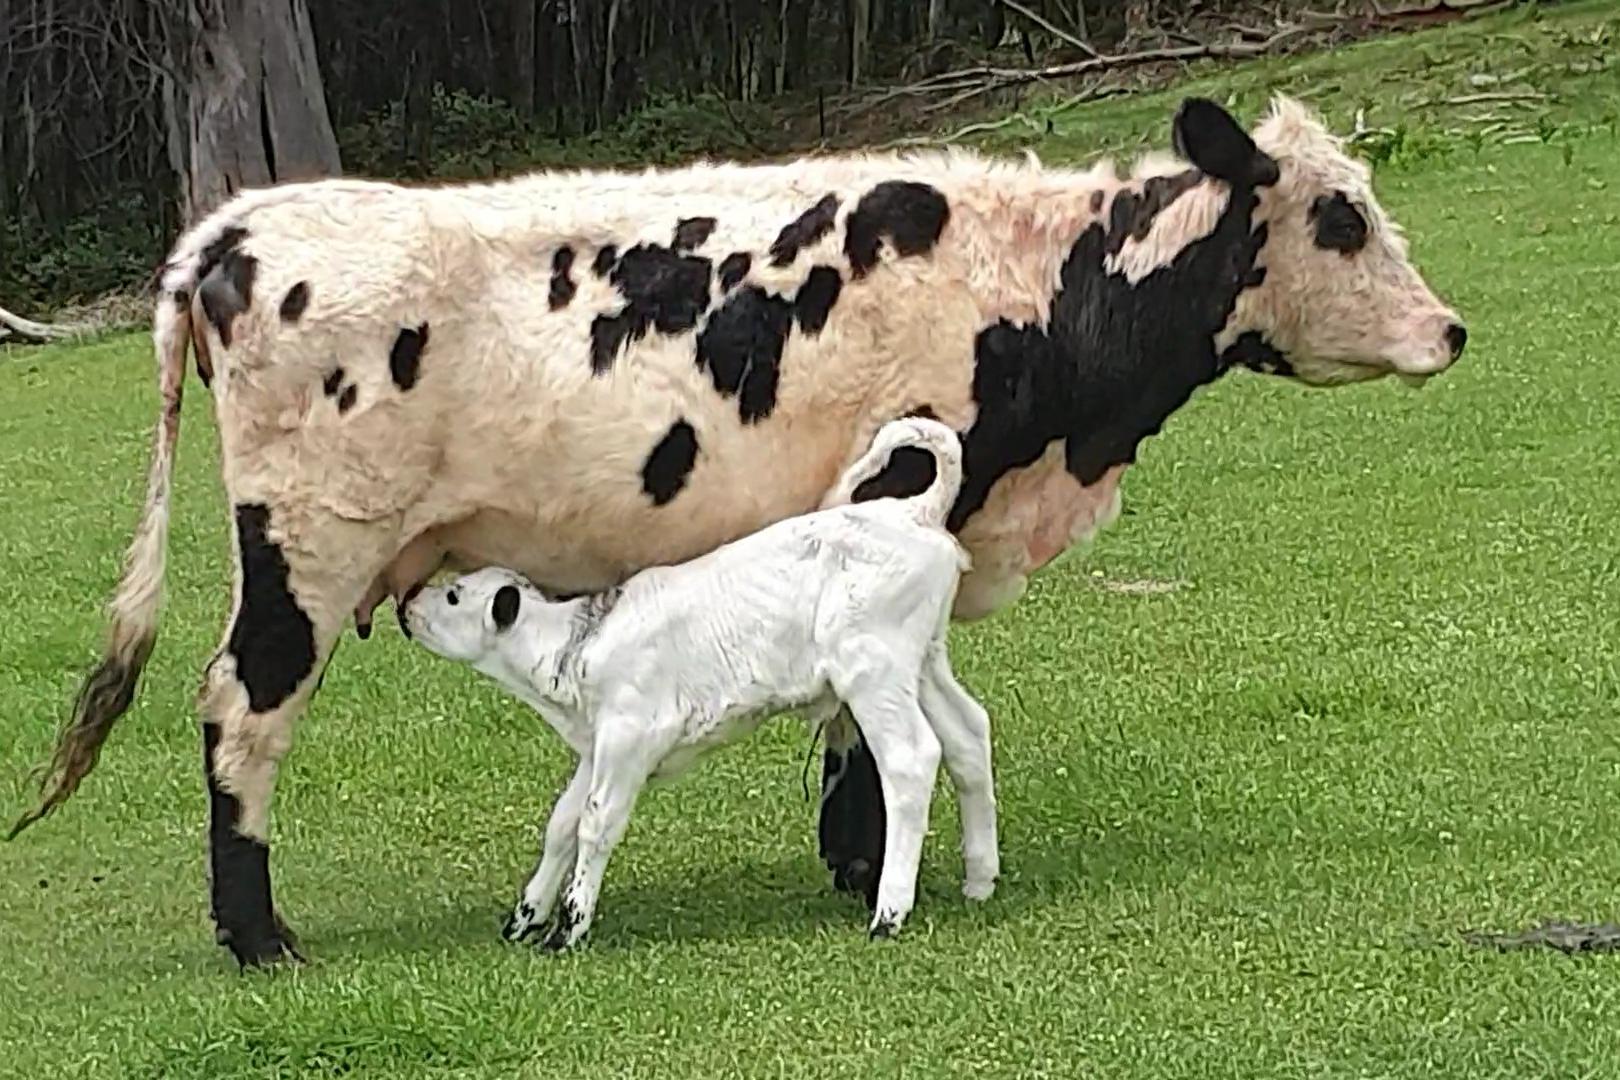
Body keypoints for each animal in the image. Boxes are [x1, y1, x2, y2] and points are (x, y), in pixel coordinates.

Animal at [6, 95, 1466, 968]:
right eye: (1342, 215)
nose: (1451, 329)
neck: (1042, 298)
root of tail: (240, 227)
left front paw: (858, 858)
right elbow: (867, 728)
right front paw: (868, 862)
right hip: (306, 549)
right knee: (242, 712)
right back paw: (259, 936)